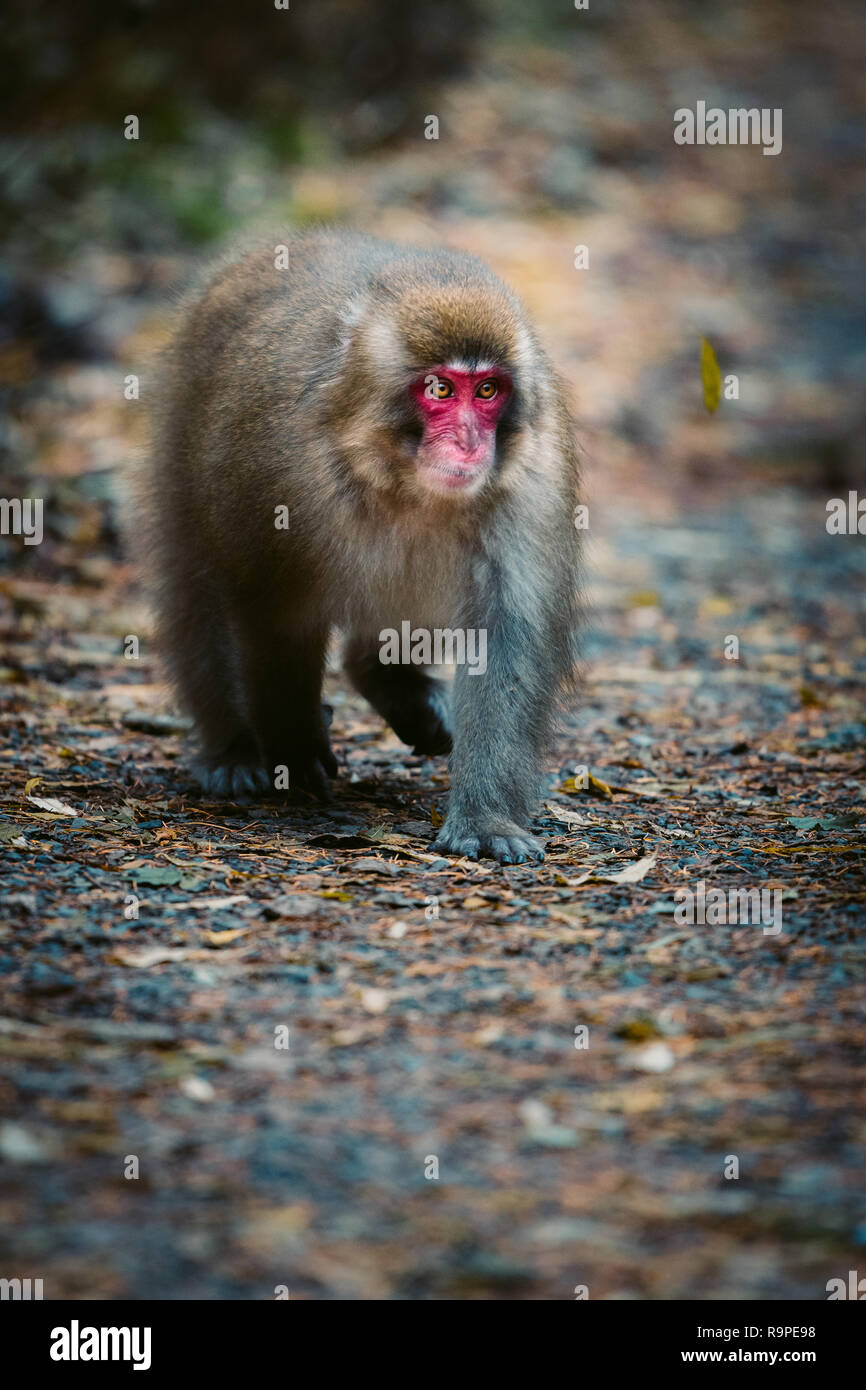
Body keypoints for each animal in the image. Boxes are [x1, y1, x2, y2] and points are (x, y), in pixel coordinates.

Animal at [137, 230, 580, 863]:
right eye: (440, 388)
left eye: (488, 390)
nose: (471, 443)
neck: (398, 476)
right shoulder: (281, 473)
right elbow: (273, 611)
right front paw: (293, 750)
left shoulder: (530, 481)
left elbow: (508, 633)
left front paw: (486, 817)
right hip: (182, 418)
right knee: (196, 581)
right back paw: (233, 752)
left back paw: (388, 683)